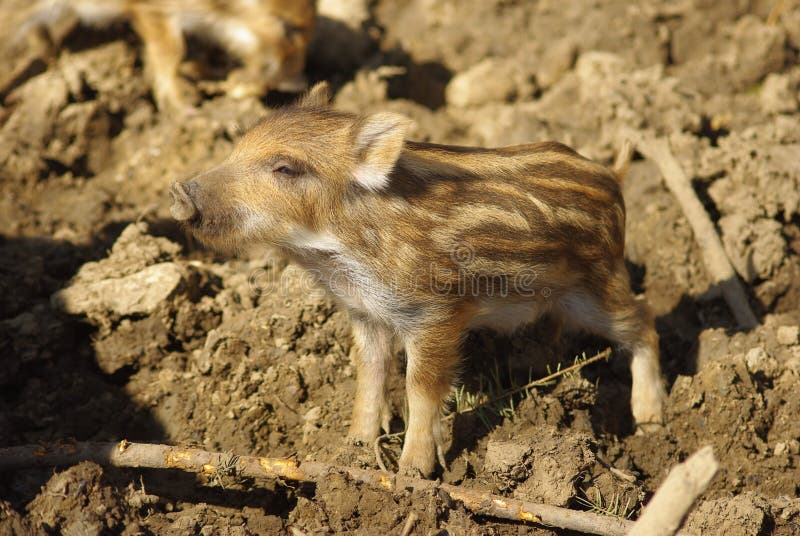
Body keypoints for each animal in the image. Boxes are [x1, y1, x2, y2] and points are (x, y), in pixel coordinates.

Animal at [170, 82, 667, 477]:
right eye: (238, 147)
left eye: (286, 168)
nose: (180, 191)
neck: (335, 255)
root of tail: (613, 177)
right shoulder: (365, 314)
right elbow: (369, 373)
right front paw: (352, 447)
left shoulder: (435, 315)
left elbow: (419, 388)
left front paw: (412, 473)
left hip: (595, 288)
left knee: (644, 319)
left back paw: (650, 420)